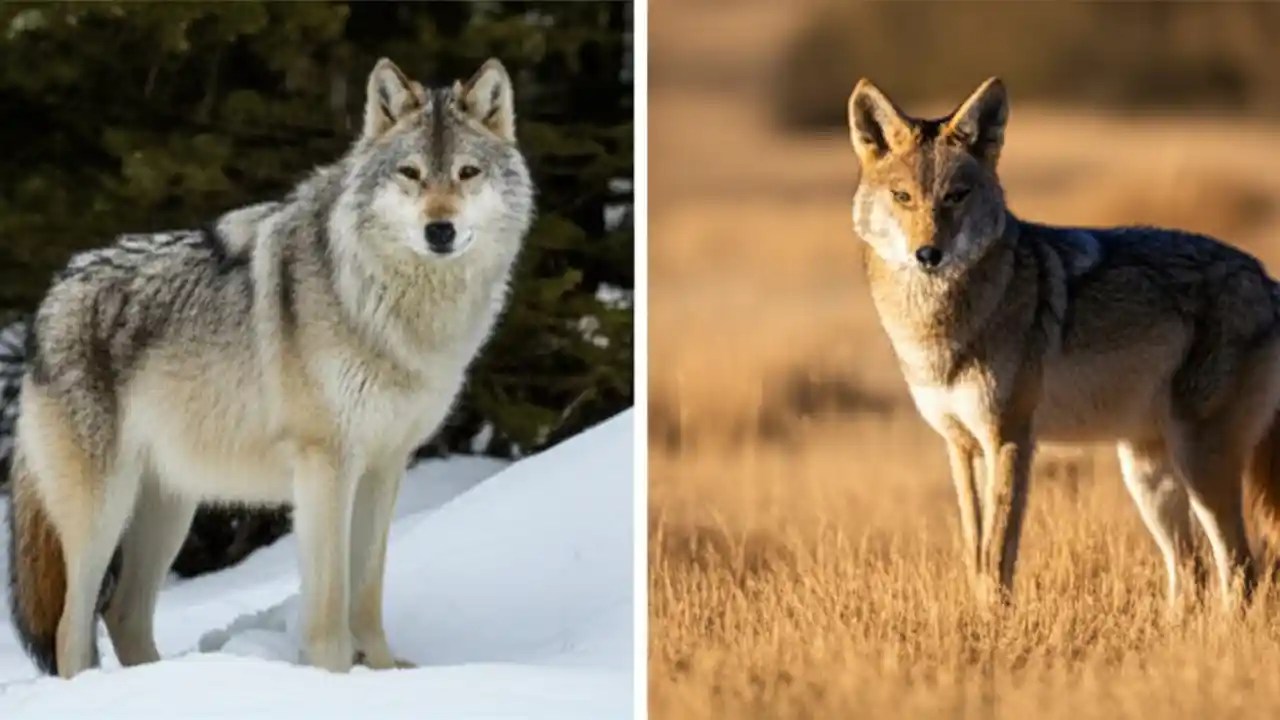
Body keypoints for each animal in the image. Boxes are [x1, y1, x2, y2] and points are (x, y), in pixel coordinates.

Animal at [6, 56, 534, 678]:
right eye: (411, 173)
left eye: (467, 173)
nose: (440, 230)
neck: (393, 308)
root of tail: (49, 299)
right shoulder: (325, 465)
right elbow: (329, 603)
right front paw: (333, 677)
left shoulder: (386, 466)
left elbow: (366, 593)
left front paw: (380, 672)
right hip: (102, 511)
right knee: (73, 627)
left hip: (168, 509)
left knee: (123, 615)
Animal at [847, 77, 1280, 610]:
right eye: (903, 196)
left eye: (956, 196)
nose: (928, 254)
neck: (937, 327)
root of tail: (1266, 280)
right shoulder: (960, 445)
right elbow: (974, 551)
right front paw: (975, 614)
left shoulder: (1010, 437)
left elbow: (998, 553)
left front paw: (995, 620)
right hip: (1147, 473)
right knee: (1191, 571)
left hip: (1199, 465)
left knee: (1240, 569)